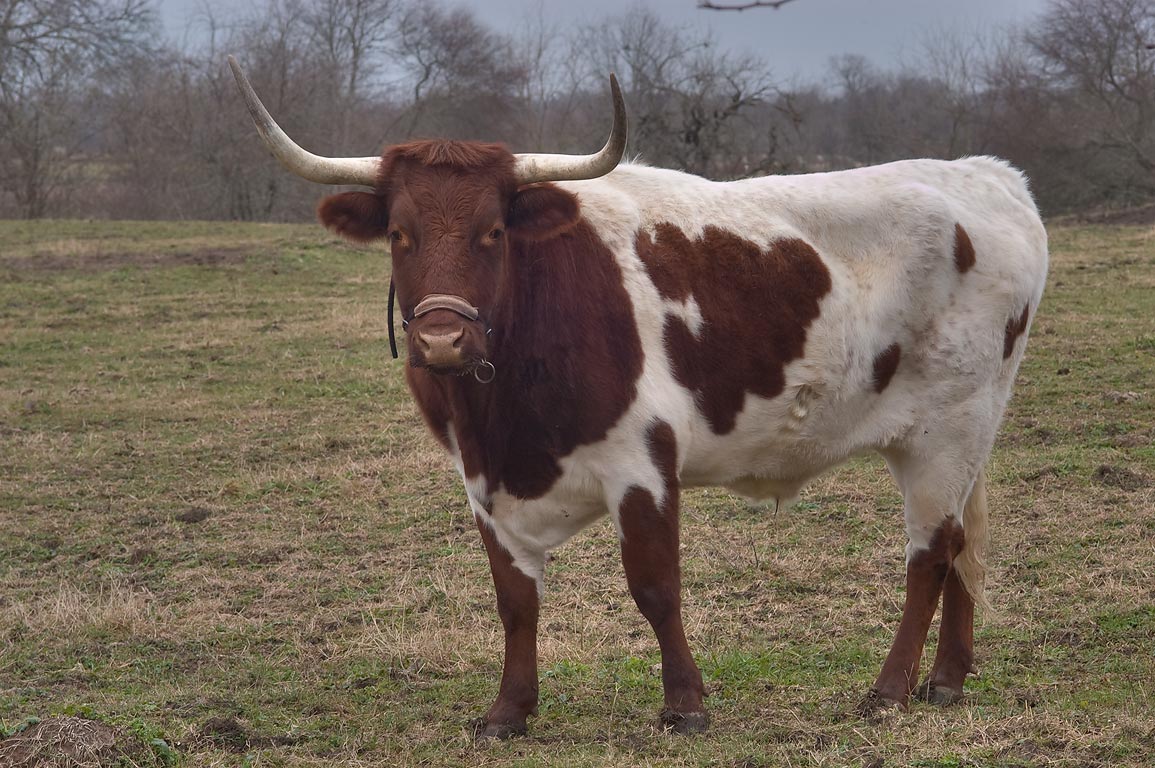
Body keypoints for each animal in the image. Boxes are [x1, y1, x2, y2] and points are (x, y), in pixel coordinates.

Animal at [229, 56, 1047, 737]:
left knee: (930, 554)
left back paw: (888, 689)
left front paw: (684, 704)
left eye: (493, 231)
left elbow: (654, 586)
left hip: (947, 427)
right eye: (400, 234)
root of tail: (987, 176)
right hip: (966, 435)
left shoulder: (641, 462)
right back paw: (946, 681)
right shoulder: (482, 481)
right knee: (962, 541)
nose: (441, 342)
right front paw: (509, 711)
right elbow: (514, 600)